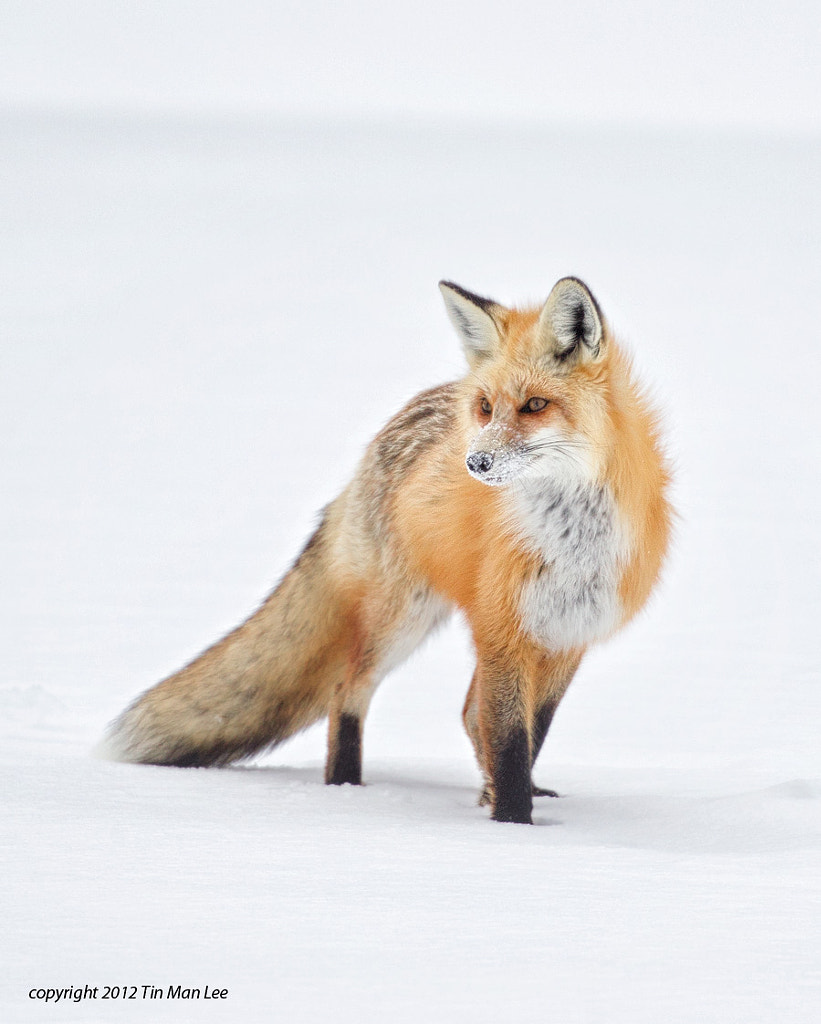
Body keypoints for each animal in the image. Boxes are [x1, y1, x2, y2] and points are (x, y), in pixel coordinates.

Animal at [103, 276, 672, 824]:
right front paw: (513, 825)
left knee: (467, 714)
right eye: (486, 408)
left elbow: (531, 734)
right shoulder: (503, 632)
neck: (572, 542)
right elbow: (510, 740)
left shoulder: (566, 636)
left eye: (535, 405)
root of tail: (379, 441)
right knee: (348, 692)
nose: (476, 463)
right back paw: (346, 789)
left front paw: (512, 807)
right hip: (400, 617)